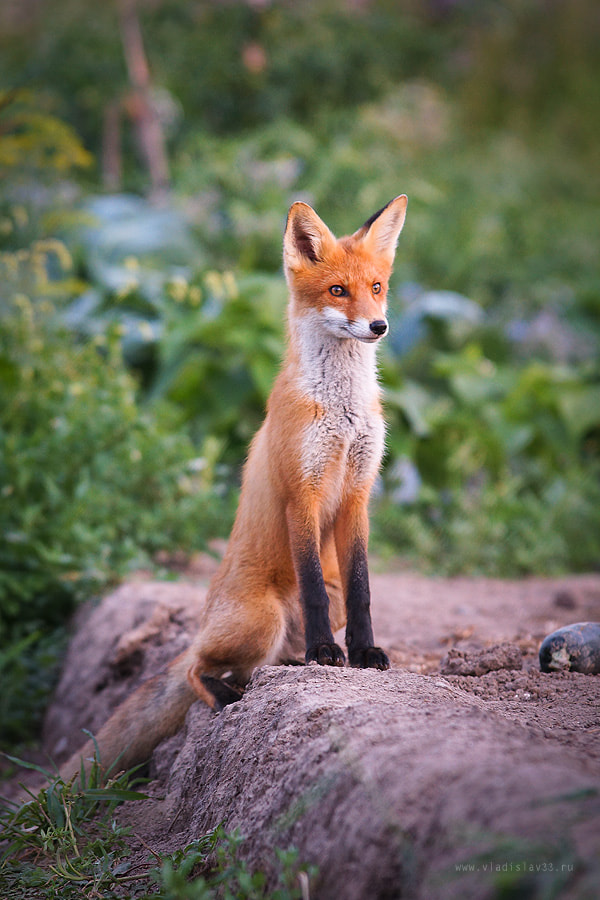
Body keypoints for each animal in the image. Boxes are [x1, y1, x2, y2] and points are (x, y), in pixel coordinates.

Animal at [59, 194, 408, 781]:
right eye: (338, 291)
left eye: (377, 286)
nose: (378, 326)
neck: (341, 409)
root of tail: (205, 622)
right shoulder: (302, 494)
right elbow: (312, 588)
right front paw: (325, 653)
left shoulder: (358, 495)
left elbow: (362, 589)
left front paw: (364, 654)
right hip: (260, 619)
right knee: (198, 670)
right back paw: (232, 695)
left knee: (257, 664)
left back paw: (284, 665)